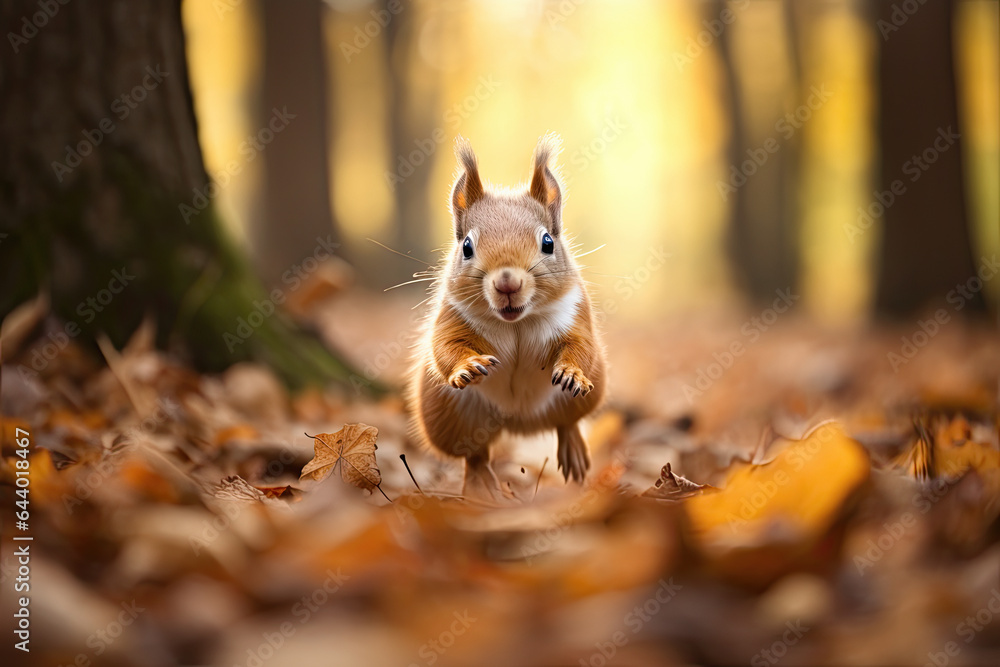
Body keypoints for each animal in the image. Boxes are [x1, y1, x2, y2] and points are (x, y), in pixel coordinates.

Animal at [409, 135, 606, 496]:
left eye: (548, 242)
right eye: (466, 247)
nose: (507, 283)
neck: (516, 322)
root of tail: (518, 423)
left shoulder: (575, 312)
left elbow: (582, 346)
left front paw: (571, 372)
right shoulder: (451, 314)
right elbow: (444, 347)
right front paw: (467, 367)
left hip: (586, 394)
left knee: (567, 422)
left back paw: (572, 450)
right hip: (451, 414)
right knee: (474, 454)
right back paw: (482, 485)